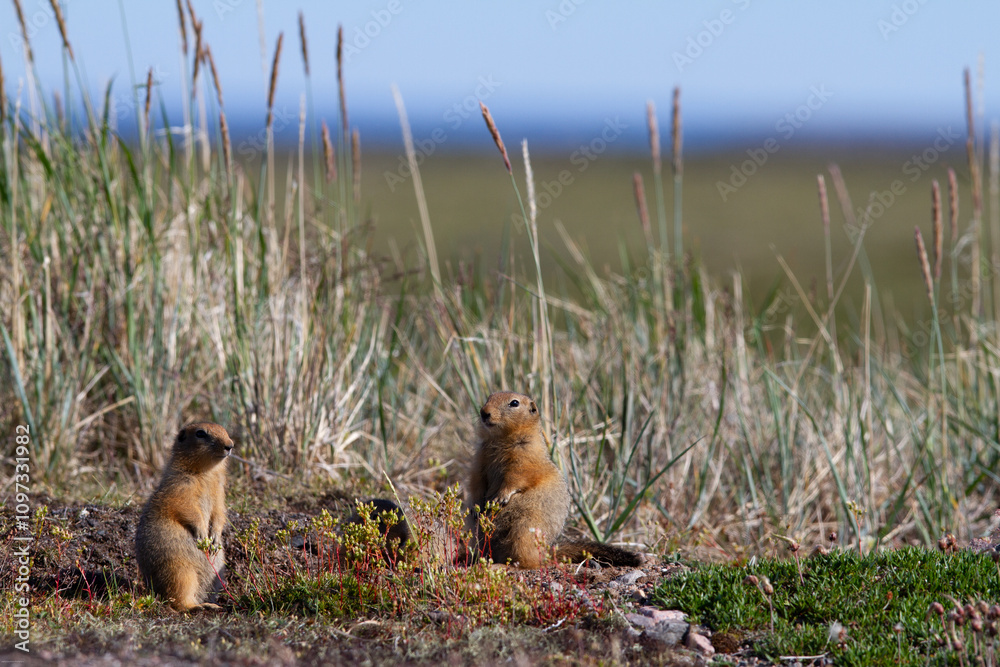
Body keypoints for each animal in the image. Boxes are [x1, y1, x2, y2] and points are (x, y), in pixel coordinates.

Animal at [135, 422, 233, 612]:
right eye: (200, 433)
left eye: (225, 430)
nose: (230, 445)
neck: (206, 473)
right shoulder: (180, 487)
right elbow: (188, 510)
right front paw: (202, 535)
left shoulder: (219, 494)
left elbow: (219, 513)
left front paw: (215, 538)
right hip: (180, 572)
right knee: (178, 601)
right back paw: (201, 606)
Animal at [467, 391, 644, 569]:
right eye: (489, 398)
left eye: (514, 403)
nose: (484, 412)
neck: (499, 439)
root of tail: (548, 552)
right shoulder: (479, 459)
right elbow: (476, 481)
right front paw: (476, 506)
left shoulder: (525, 458)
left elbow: (515, 478)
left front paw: (499, 497)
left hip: (523, 531)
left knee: (527, 562)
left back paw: (500, 565)